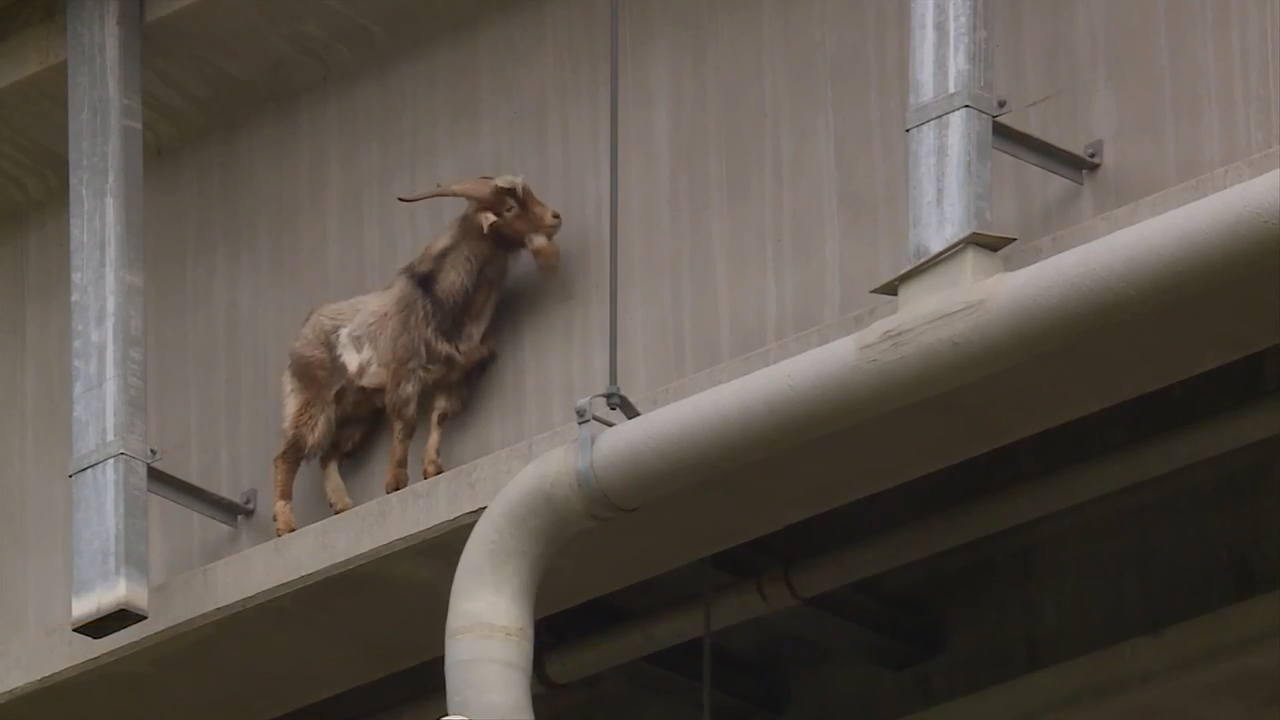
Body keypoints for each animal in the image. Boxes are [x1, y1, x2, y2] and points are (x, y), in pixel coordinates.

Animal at [271, 174, 563, 536]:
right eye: (509, 208)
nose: (554, 218)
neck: (440, 298)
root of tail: (303, 332)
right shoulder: (405, 372)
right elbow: (406, 423)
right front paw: (396, 481)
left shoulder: (455, 375)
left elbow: (440, 417)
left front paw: (432, 468)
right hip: (312, 398)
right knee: (288, 455)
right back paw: (286, 524)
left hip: (359, 411)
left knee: (329, 455)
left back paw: (341, 503)